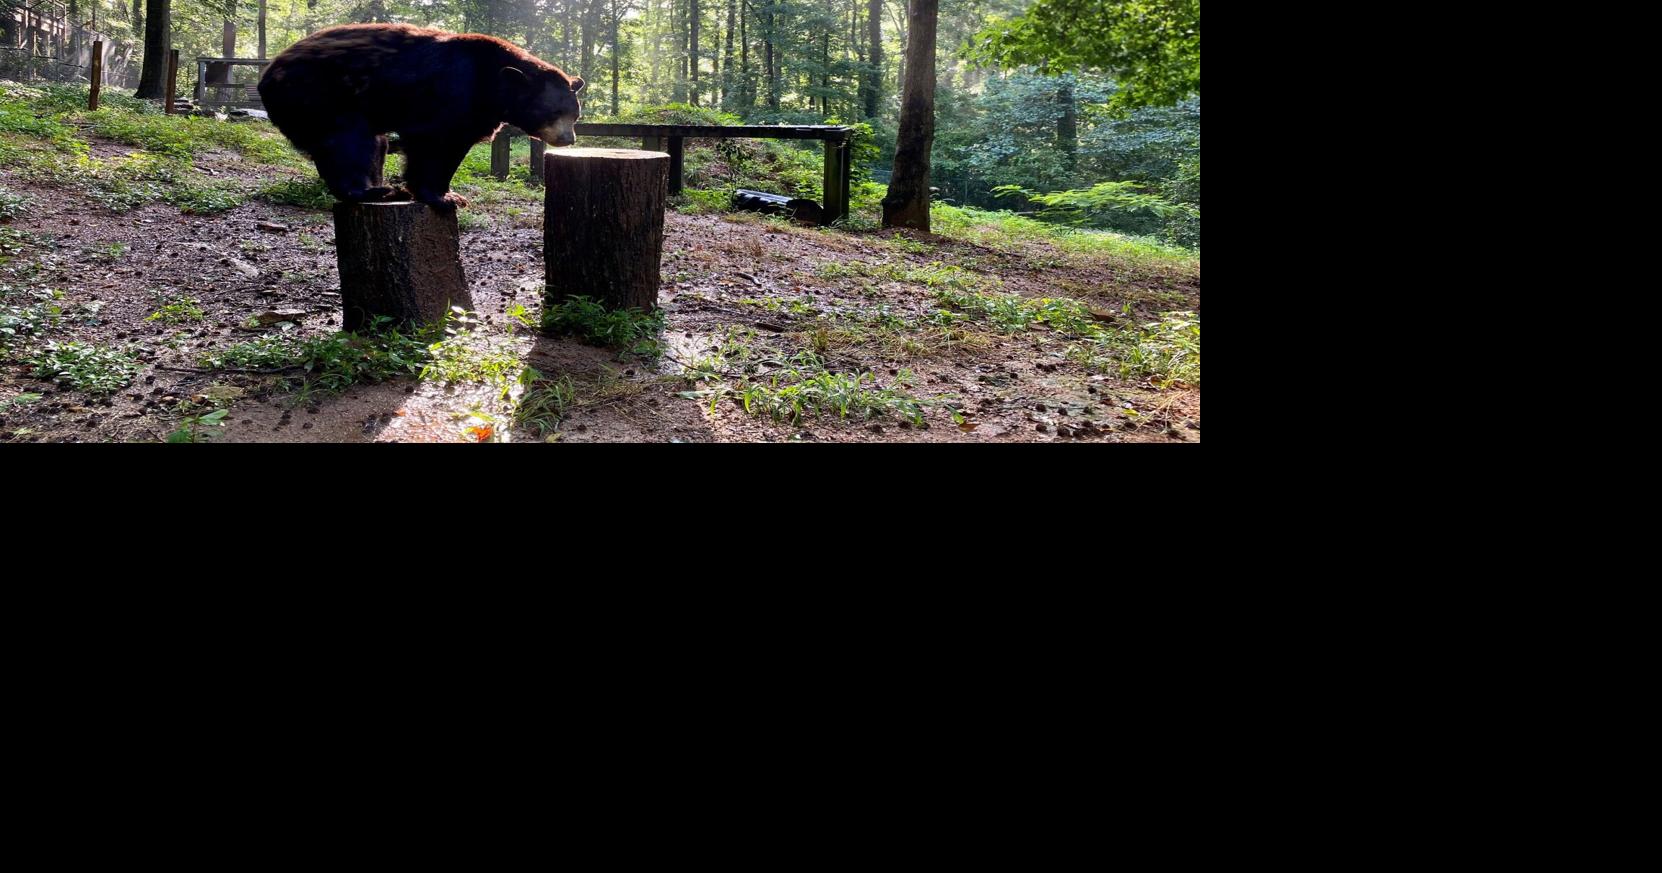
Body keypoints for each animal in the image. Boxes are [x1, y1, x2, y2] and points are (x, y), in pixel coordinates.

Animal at [257, 23, 584, 208]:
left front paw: (449, 194)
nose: (568, 138)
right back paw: (371, 191)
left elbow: (455, 143)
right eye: (554, 111)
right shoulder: (450, 91)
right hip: (318, 95)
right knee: (348, 142)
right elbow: (432, 141)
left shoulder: (476, 113)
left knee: (374, 145)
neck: (493, 85)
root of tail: (266, 76)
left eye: (575, 114)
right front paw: (441, 196)